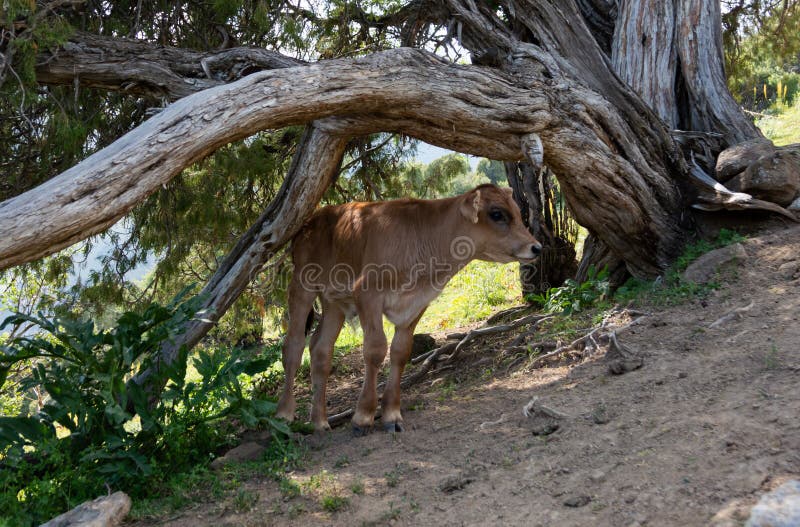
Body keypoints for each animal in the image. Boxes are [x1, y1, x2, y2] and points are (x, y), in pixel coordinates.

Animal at [275, 184, 542, 435]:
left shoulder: (418, 303)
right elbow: (375, 350)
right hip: (301, 286)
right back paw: (284, 414)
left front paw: (392, 415)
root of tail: (313, 218)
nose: (536, 247)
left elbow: (400, 352)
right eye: (497, 214)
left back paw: (319, 421)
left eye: (517, 211)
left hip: (334, 303)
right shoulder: (368, 293)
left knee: (321, 350)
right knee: (293, 346)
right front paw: (363, 416)